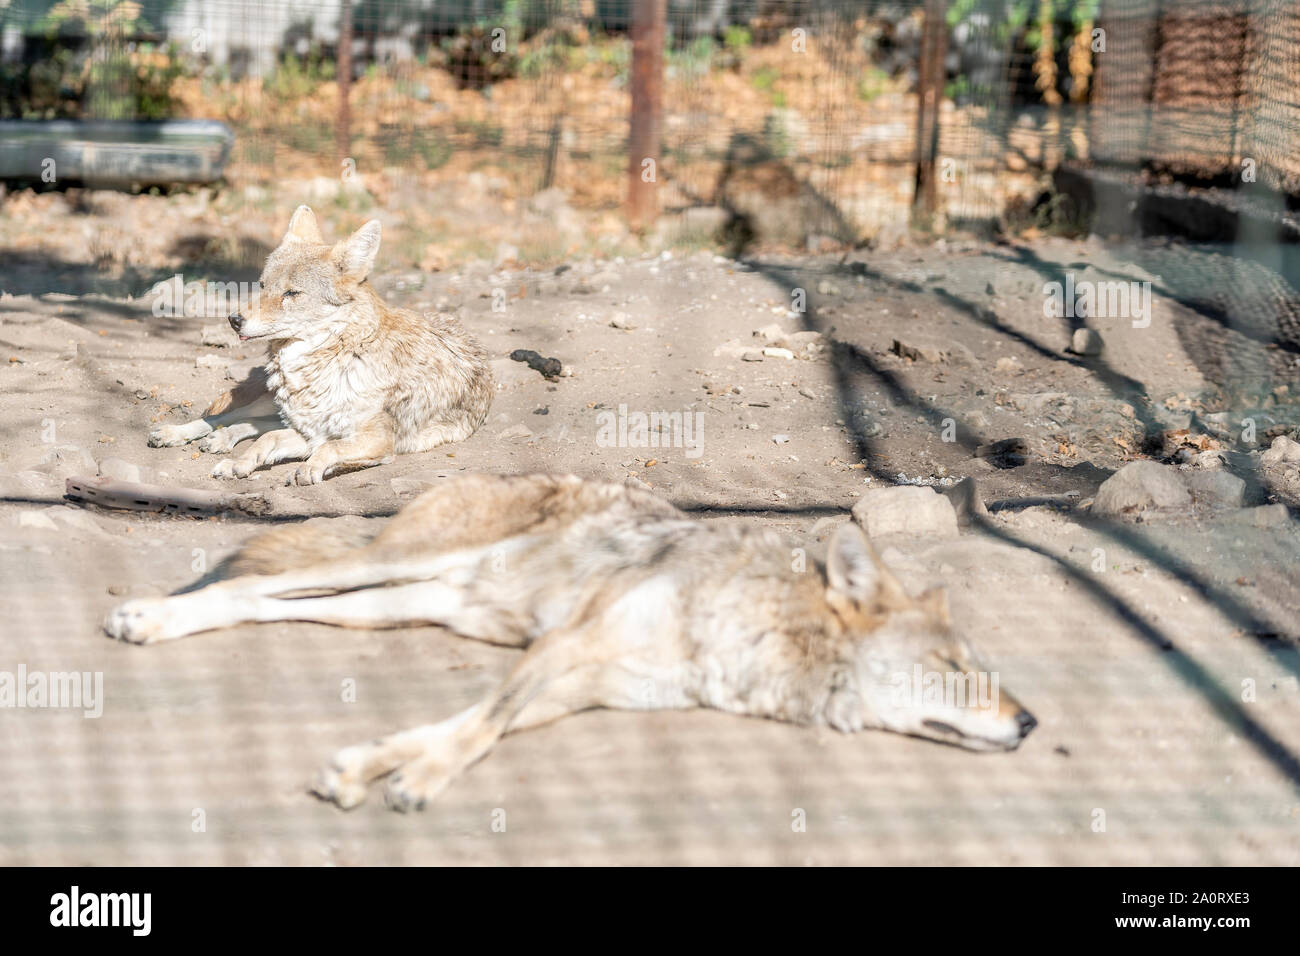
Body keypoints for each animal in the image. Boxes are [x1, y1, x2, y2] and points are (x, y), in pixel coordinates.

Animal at [103, 473, 1036, 811]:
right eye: (954, 667)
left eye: (977, 667)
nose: (1029, 724)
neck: (757, 632)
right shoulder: (564, 651)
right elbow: (480, 730)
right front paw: (419, 783)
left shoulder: (579, 685)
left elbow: (464, 724)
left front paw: (370, 766)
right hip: (398, 568)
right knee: (246, 585)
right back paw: (147, 619)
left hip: (396, 609)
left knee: (267, 606)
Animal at [147, 206, 493, 485]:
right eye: (262, 286)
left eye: (291, 293)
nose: (234, 319)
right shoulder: (309, 431)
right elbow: (266, 439)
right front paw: (238, 464)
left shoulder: (364, 439)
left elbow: (325, 445)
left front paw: (306, 469)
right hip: (270, 403)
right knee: (231, 418)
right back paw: (178, 434)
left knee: (251, 424)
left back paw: (219, 440)